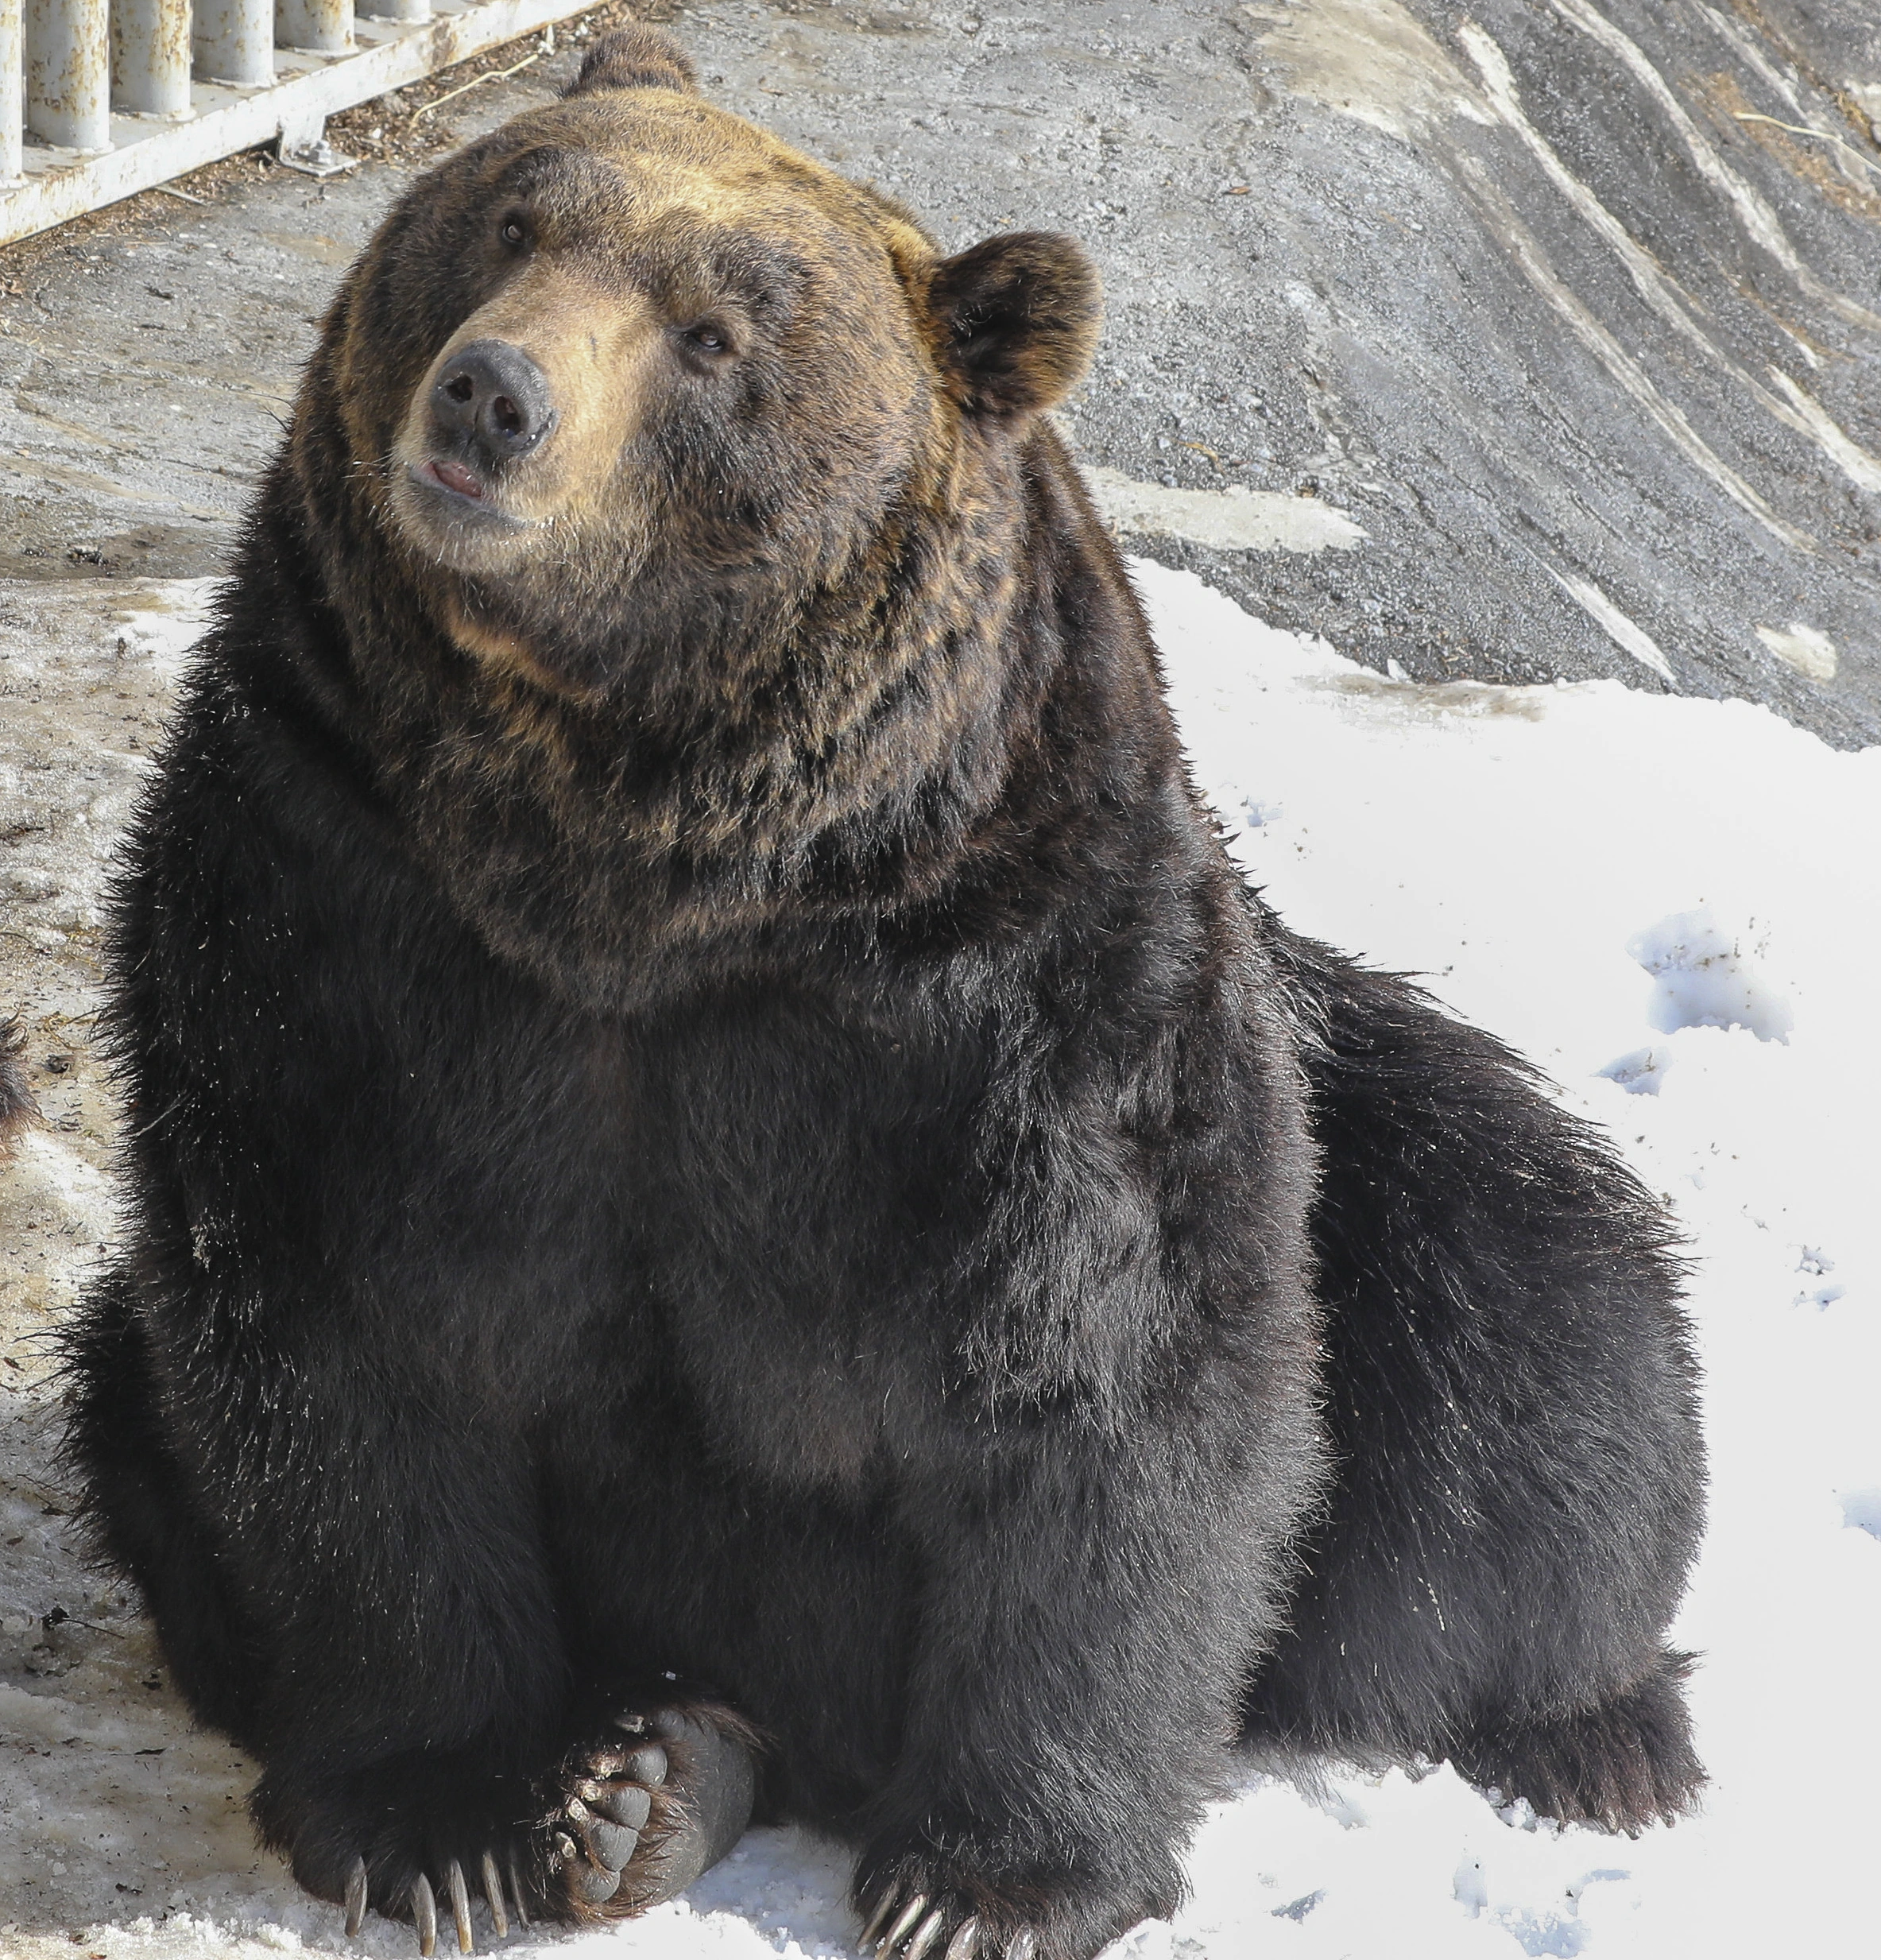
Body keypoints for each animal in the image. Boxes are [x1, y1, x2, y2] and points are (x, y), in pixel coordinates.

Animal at [63, 27, 1705, 1960]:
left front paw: (983, 1884)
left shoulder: (1010, 991)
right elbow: (330, 1332)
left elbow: (1113, 1369)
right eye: (510, 222)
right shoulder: (337, 896)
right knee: (130, 1403)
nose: (488, 398)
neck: (644, 860)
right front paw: (450, 1817)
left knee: (1536, 1325)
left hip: (1381, 1157)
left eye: (714, 333)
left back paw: (1598, 1728)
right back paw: (652, 1782)